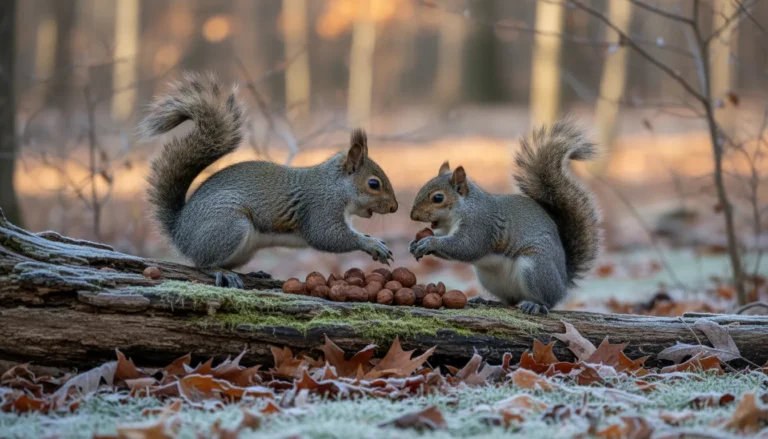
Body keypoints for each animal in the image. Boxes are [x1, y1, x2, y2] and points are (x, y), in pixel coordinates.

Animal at [140, 73, 398, 288]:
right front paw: (369, 244)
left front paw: (373, 241)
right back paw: (221, 272)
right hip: (229, 226)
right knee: (202, 262)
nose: (394, 208)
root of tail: (179, 230)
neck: (335, 187)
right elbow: (328, 236)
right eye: (373, 184)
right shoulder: (320, 208)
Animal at [408, 119, 602, 314]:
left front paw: (430, 242)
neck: (463, 209)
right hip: (490, 278)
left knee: (547, 300)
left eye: (438, 198)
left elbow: (466, 247)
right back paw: (488, 301)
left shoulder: (480, 224)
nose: (413, 216)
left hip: (535, 268)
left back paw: (536, 305)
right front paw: (415, 243)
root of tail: (562, 282)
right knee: (510, 300)